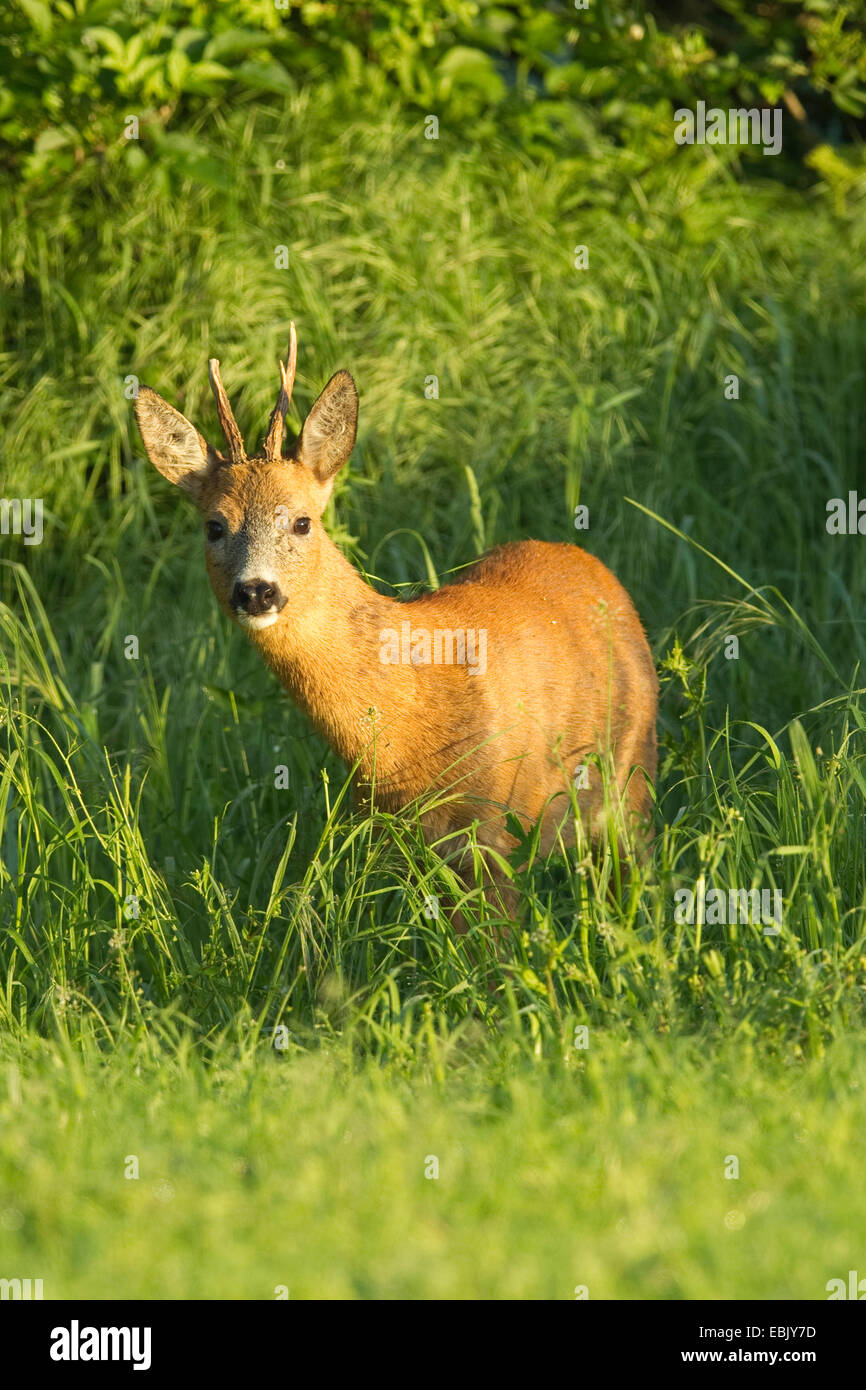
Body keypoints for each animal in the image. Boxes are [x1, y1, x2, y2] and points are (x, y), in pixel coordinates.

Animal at [134, 325, 658, 923]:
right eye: (214, 526)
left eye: (302, 521)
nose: (256, 590)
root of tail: (592, 565)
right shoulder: (398, 839)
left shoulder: (494, 831)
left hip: (632, 779)